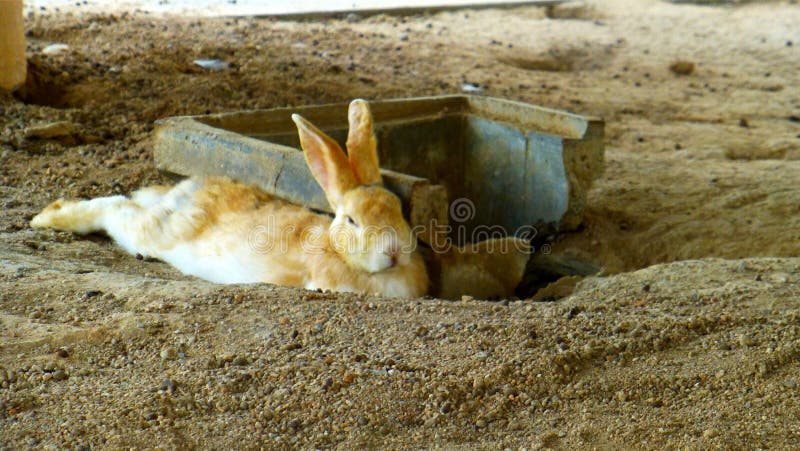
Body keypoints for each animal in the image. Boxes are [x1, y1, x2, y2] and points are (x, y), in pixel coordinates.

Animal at [30, 99, 429, 298]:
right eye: (352, 220)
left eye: (398, 212)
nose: (395, 251)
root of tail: (183, 189)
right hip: (153, 230)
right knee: (113, 208)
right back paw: (46, 218)